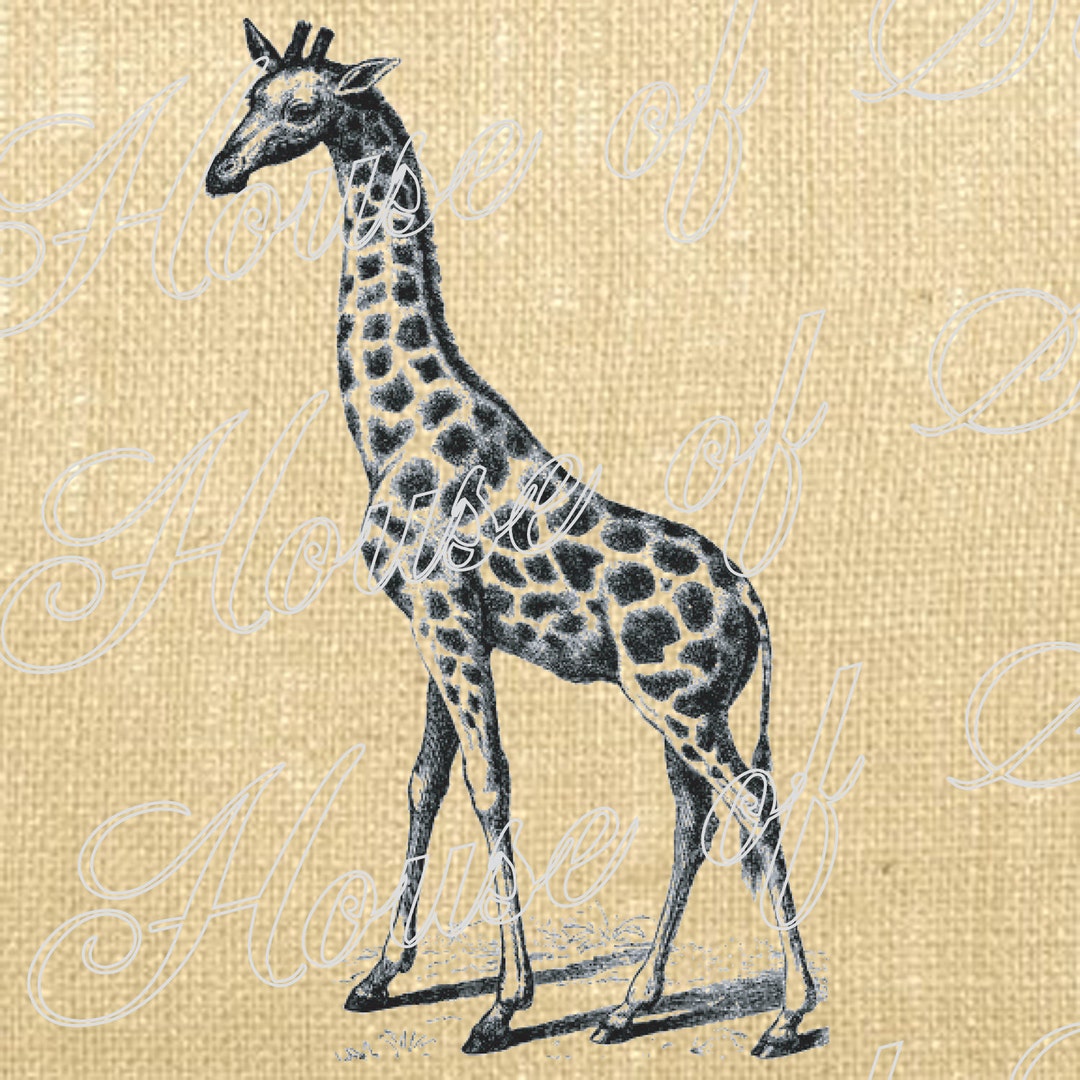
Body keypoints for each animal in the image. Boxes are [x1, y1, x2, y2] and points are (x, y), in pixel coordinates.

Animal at [206, 20, 819, 1057]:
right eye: (250, 97)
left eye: (302, 105)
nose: (221, 171)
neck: (391, 433)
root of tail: (751, 599)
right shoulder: (438, 623)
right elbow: (424, 782)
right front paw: (381, 975)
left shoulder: (449, 620)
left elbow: (489, 785)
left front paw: (503, 1002)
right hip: (684, 707)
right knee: (697, 815)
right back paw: (631, 1004)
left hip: (678, 701)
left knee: (751, 805)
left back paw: (787, 1013)